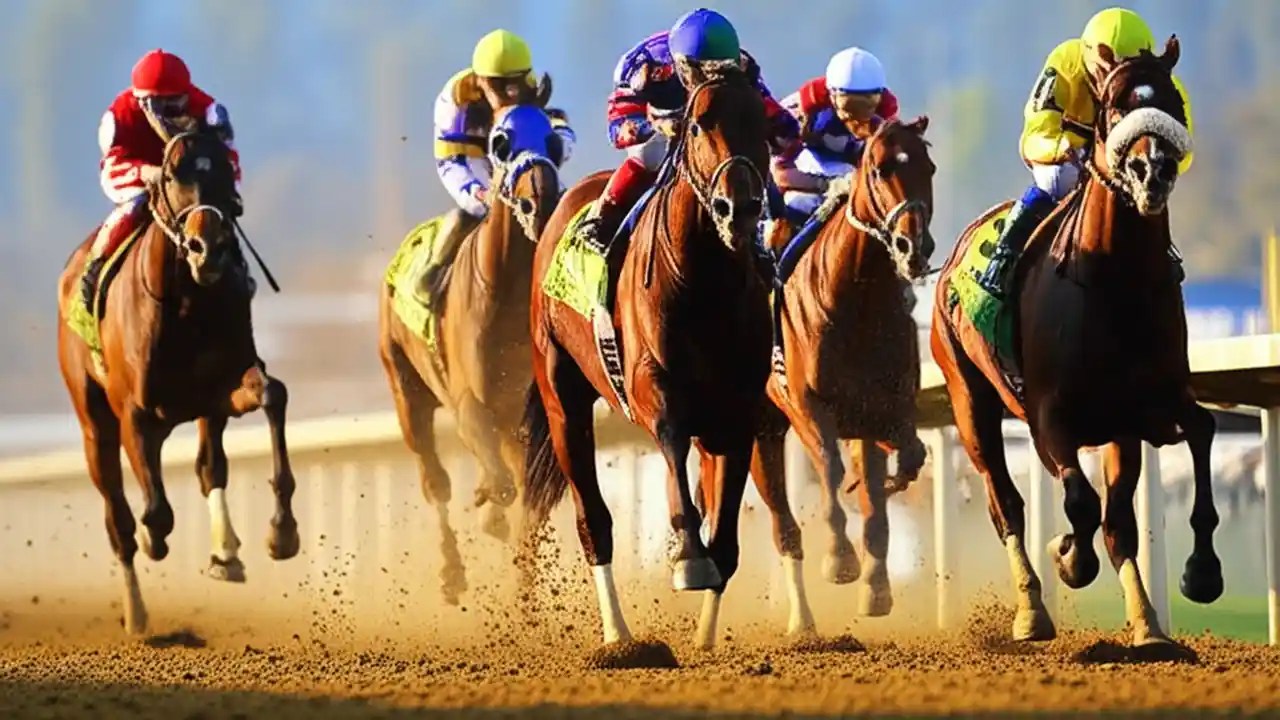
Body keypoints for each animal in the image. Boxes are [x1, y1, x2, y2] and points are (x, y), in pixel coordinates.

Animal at [56, 126, 298, 636]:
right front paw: (154, 540)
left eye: (226, 166)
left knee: (210, 467)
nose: (208, 249)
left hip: (202, 412)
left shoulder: (223, 388)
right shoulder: (136, 414)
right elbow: (155, 513)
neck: (187, 301)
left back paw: (226, 554)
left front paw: (283, 533)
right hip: (94, 424)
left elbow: (274, 395)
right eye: (170, 175)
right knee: (118, 518)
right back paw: (137, 613)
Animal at [378, 105, 564, 604]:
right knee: (435, 483)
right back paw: (451, 571)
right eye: (501, 142)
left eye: (556, 139)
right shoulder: (469, 402)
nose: (540, 201)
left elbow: (527, 501)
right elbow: (499, 484)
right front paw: (488, 509)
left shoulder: (532, 418)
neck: (508, 290)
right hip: (407, 392)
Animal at [520, 69, 774, 652]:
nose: (739, 209)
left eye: (764, 124)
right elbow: (677, 475)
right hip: (562, 398)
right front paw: (688, 558)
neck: (706, 284)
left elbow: (725, 538)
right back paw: (620, 638)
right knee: (594, 521)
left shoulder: (738, 414)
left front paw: (705, 632)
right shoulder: (657, 392)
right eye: (699, 124)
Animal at [745, 117, 935, 637]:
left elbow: (897, 467)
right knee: (783, 522)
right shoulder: (810, 403)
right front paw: (840, 560)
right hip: (764, 429)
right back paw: (802, 619)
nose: (915, 248)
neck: (857, 296)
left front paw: (876, 584)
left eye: (929, 167)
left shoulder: (882, 408)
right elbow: (830, 470)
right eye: (880, 168)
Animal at [931, 36, 1208, 650]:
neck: (1114, 281)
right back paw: (1031, 610)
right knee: (1005, 503)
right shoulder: (1048, 417)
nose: (1152, 170)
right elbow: (1080, 503)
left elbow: (1193, 439)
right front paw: (1068, 559)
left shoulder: (1143, 410)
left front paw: (1182, 593)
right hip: (969, 402)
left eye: (1174, 102)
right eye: (1114, 105)